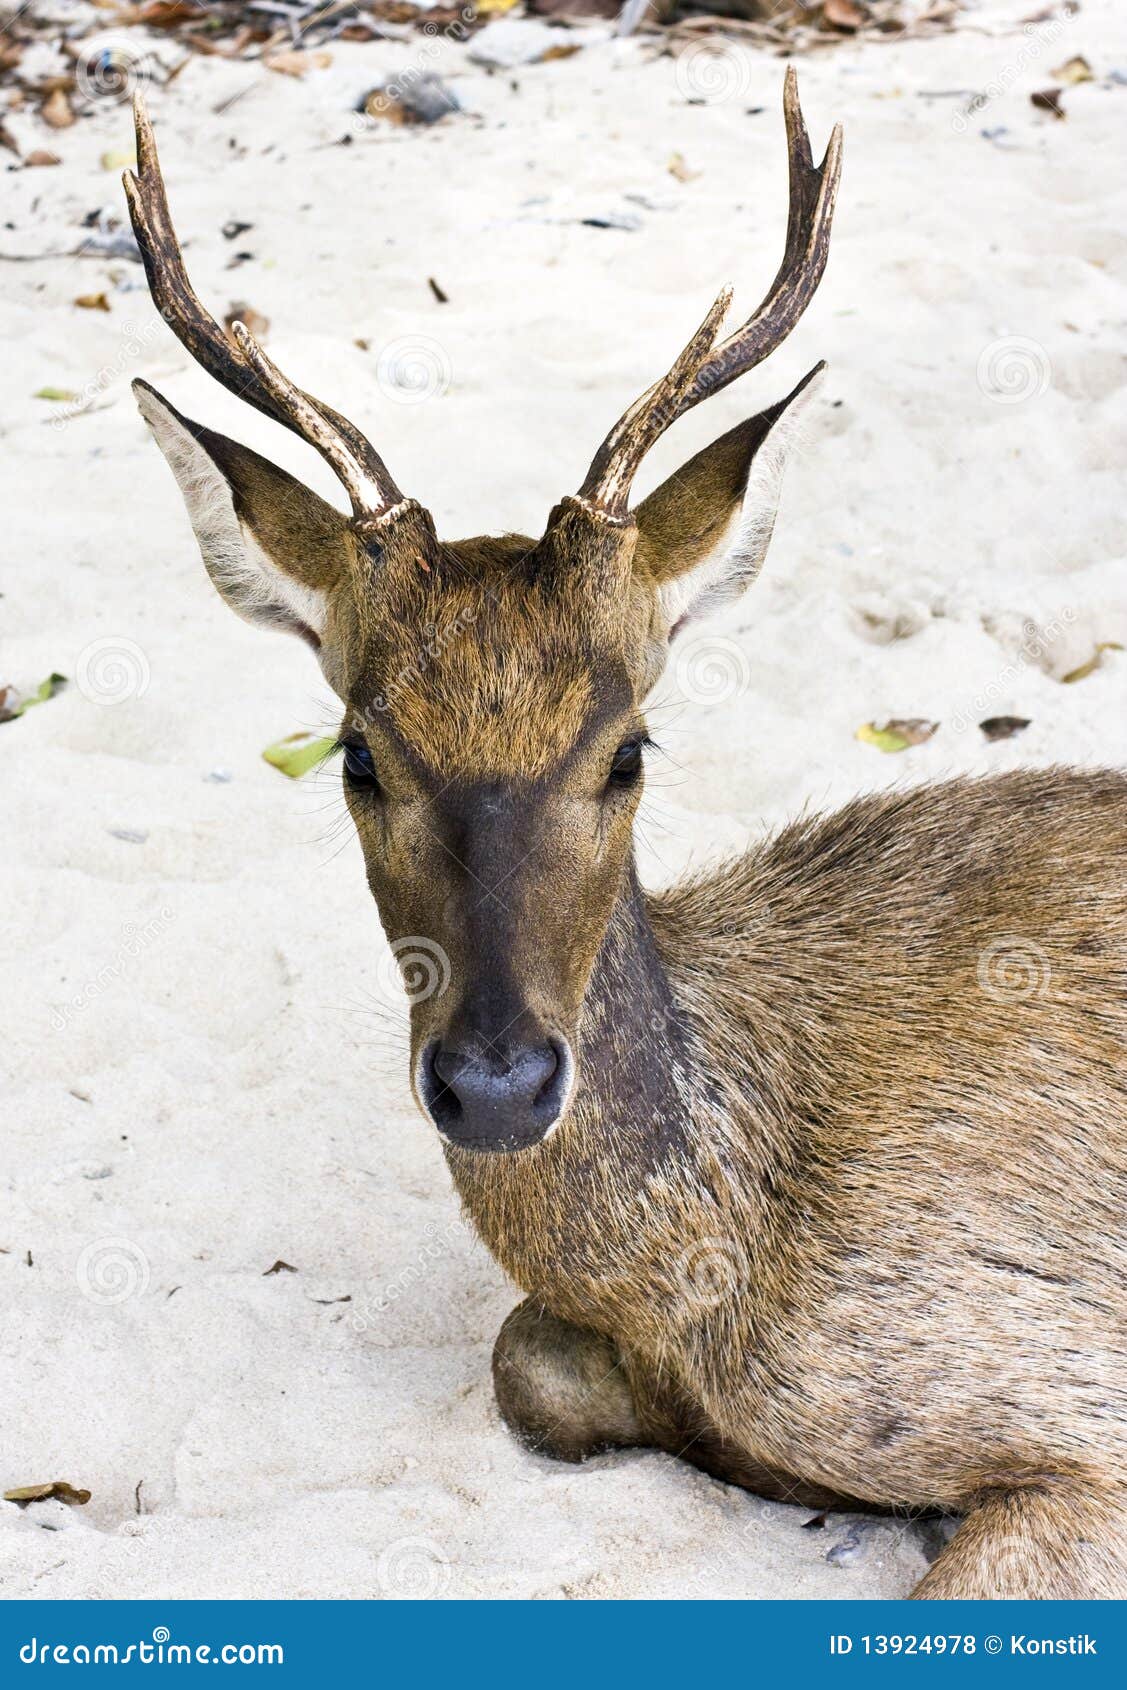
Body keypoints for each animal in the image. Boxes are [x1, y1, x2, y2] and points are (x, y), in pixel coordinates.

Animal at [122, 73, 1127, 1600]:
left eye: (628, 749)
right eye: (357, 753)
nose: (492, 1082)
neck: (716, 1277)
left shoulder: (1080, 1392)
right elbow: (522, 1360)